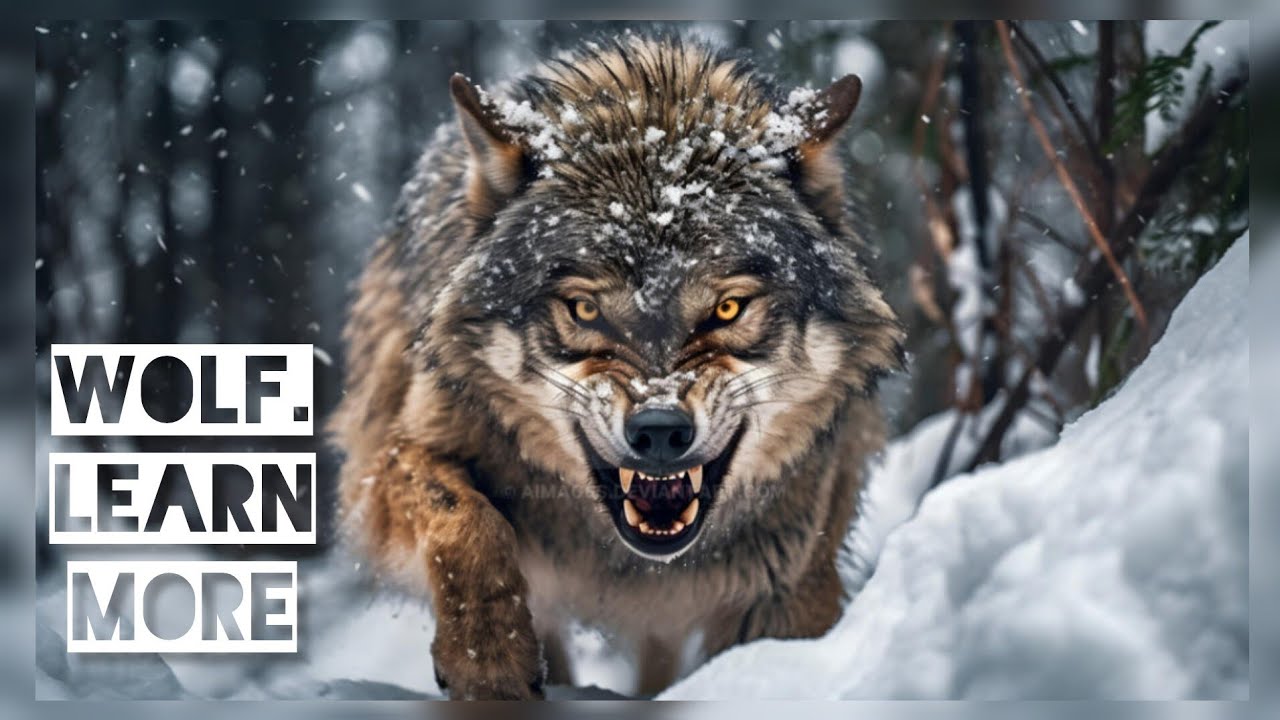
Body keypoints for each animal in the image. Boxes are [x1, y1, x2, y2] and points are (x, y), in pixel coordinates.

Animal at [330, 34, 904, 700]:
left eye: (727, 308)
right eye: (585, 309)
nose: (658, 431)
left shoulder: (792, 582)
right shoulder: (390, 458)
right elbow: (466, 519)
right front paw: (488, 661)